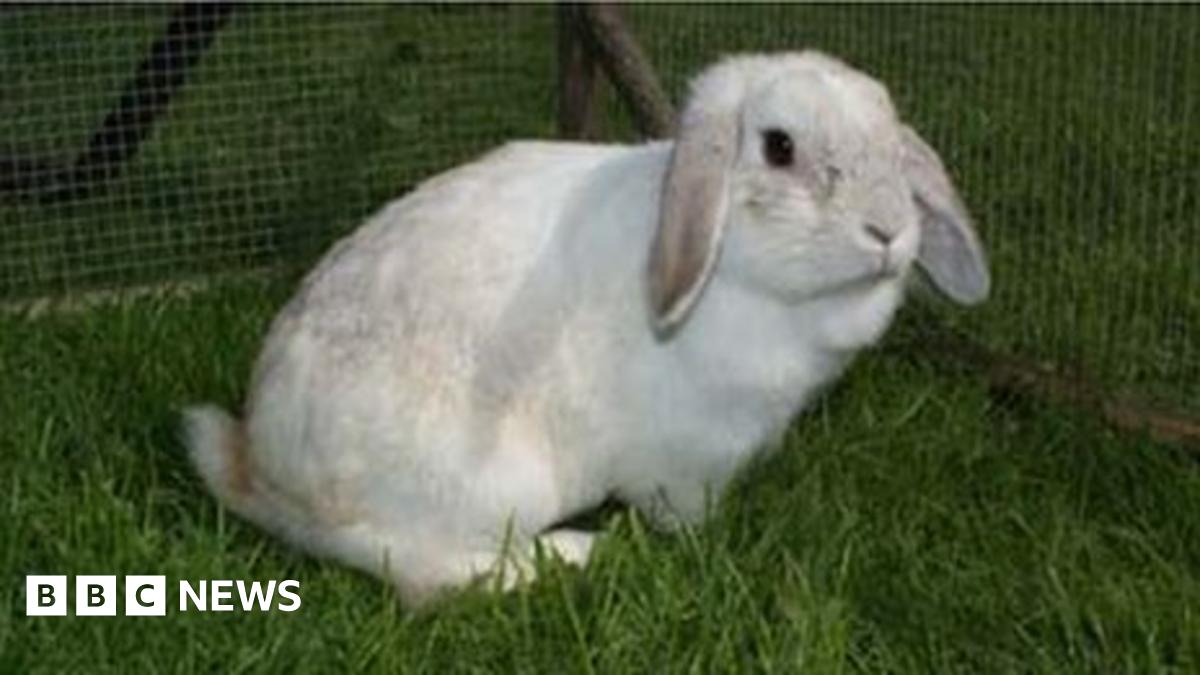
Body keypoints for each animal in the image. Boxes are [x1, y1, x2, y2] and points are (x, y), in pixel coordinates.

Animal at [184, 51, 989, 606]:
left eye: (891, 139)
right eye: (779, 146)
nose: (889, 231)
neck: (736, 268)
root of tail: (264, 472)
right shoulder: (684, 463)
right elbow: (685, 515)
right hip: (494, 491)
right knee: (430, 575)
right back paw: (576, 553)